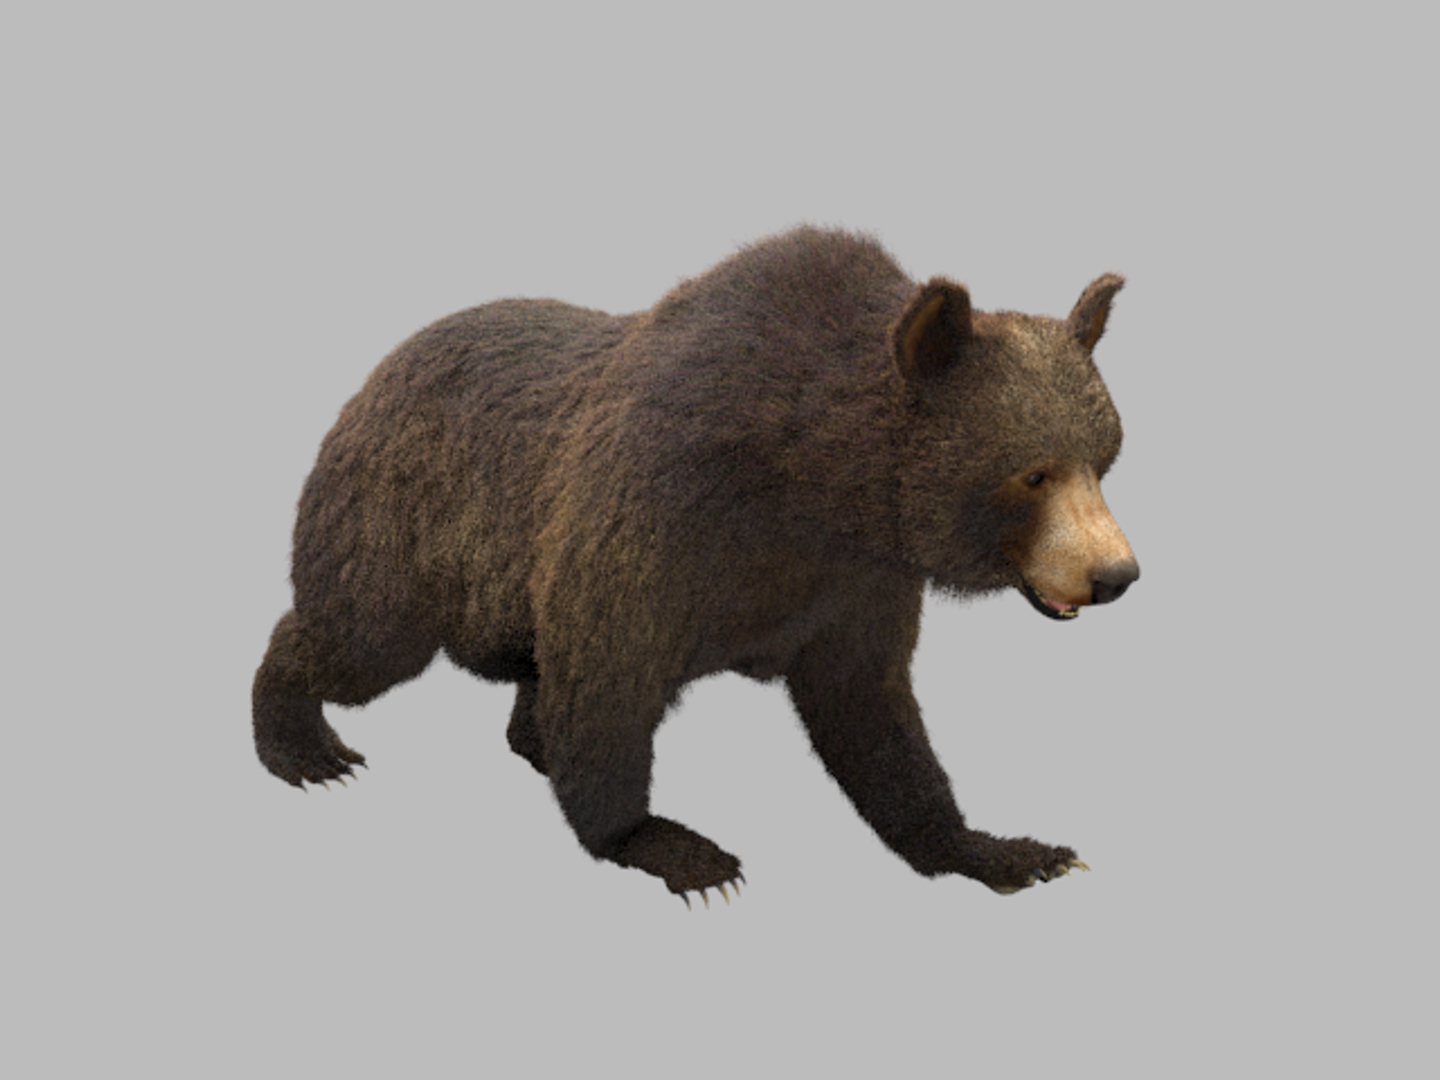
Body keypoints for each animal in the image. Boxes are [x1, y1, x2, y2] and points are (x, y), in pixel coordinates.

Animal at [253, 226, 1139, 906]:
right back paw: (303, 745)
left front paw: (1007, 849)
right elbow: (610, 679)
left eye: (1104, 459)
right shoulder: (663, 515)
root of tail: (383, 365)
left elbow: (871, 712)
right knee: (363, 639)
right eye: (1033, 473)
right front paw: (672, 846)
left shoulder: (852, 581)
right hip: (411, 519)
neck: (811, 477)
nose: (1115, 575)